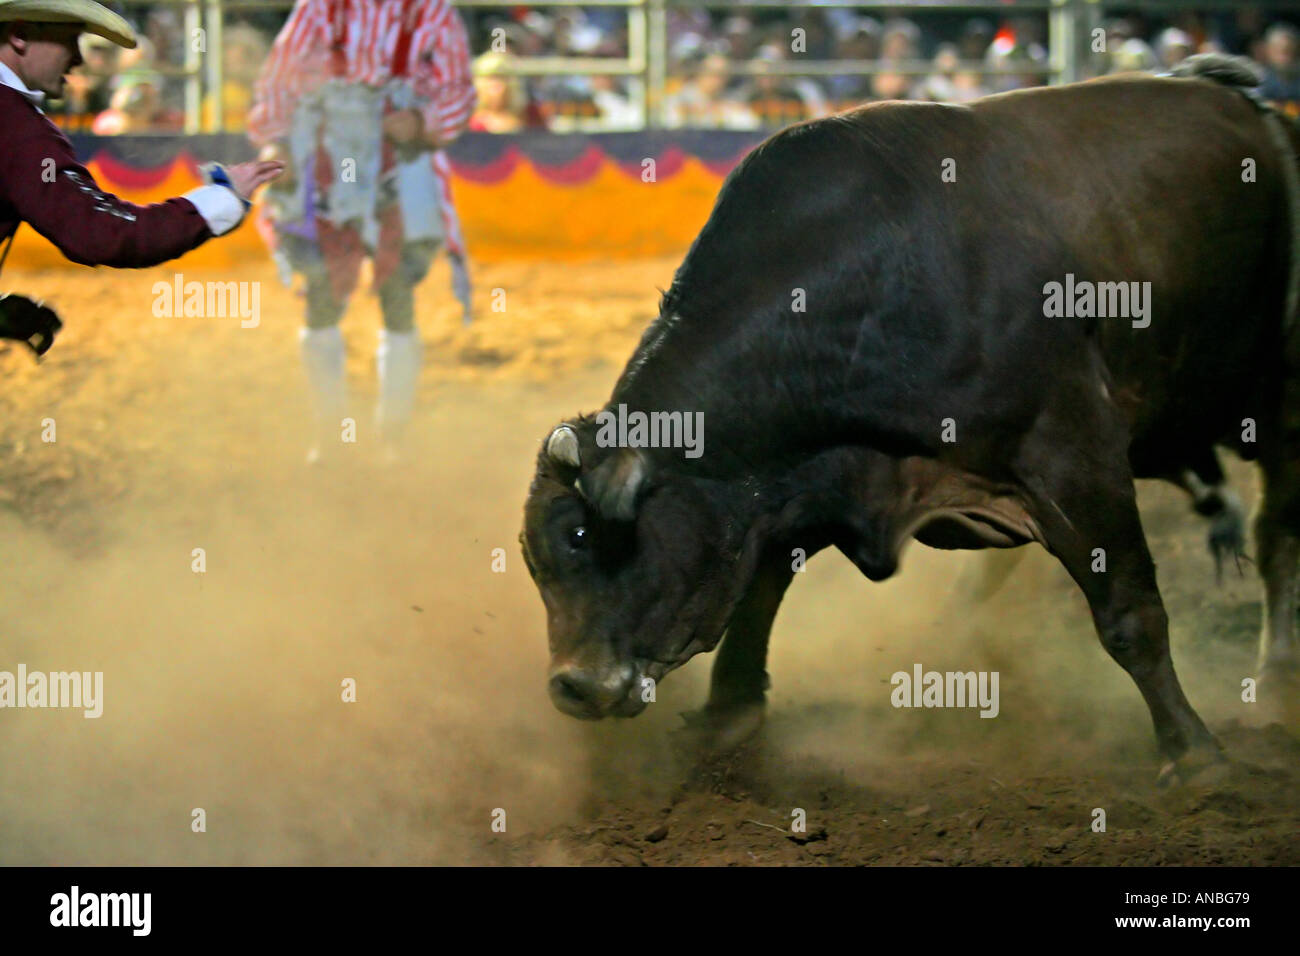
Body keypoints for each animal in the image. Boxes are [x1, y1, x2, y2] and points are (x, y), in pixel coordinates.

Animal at [520, 55, 1300, 783]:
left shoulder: (1074, 454)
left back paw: (1277, 676)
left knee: (1275, 537)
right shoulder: (809, 480)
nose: (571, 688)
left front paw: (1194, 755)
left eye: (582, 534)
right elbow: (760, 592)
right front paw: (726, 715)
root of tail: (1239, 97)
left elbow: (1129, 612)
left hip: (1277, 401)